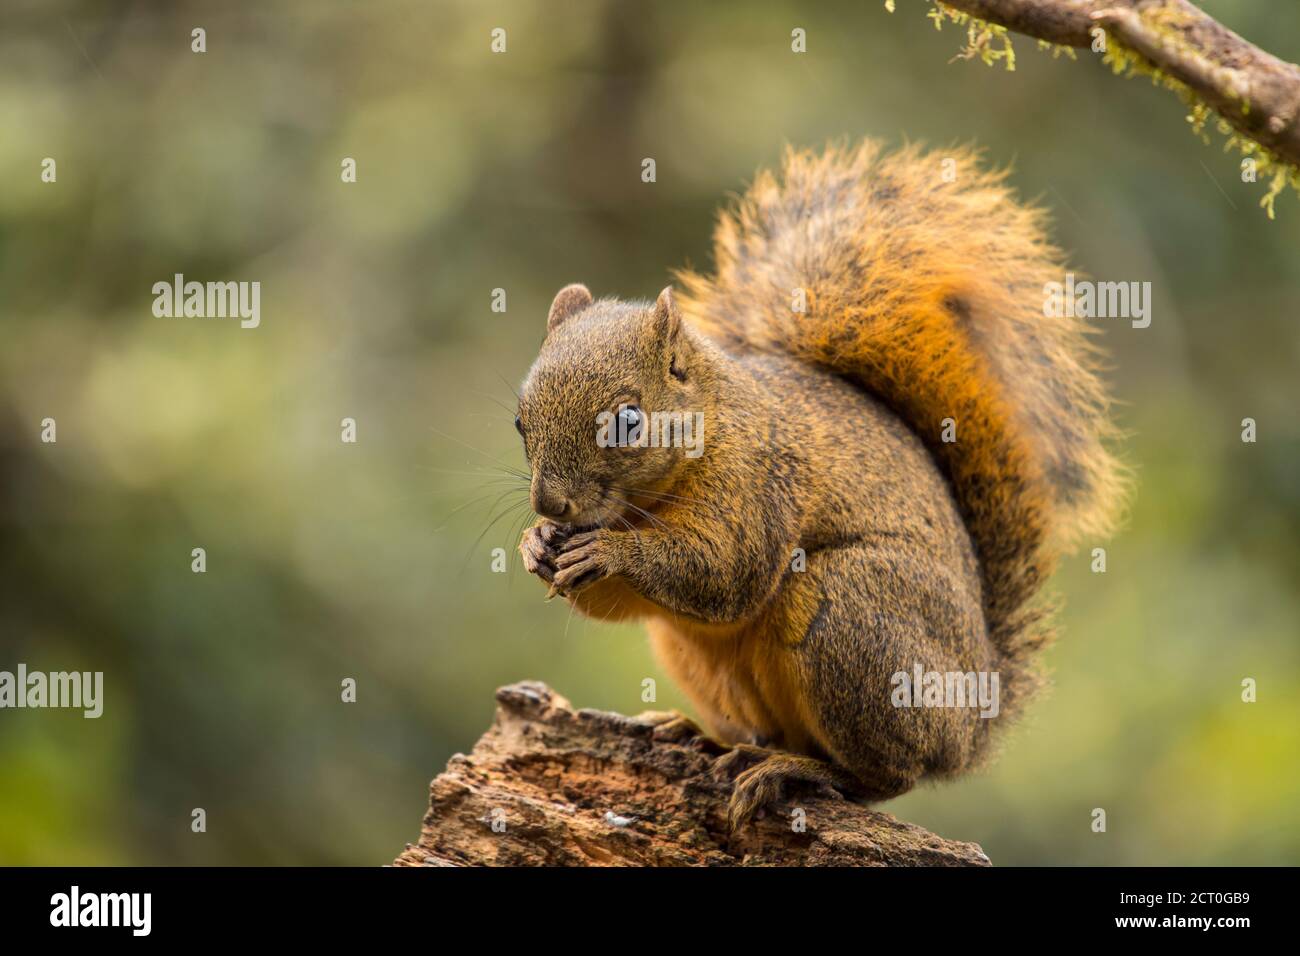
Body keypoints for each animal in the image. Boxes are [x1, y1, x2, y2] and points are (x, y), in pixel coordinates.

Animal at [515, 141, 1127, 827]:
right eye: (519, 420)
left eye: (627, 421)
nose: (550, 502)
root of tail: (972, 722)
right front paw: (536, 544)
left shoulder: (756, 486)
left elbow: (724, 569)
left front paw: (608, 551)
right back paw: (707, 738)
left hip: (853, 617)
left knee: (886, 776)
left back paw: (798, 770)